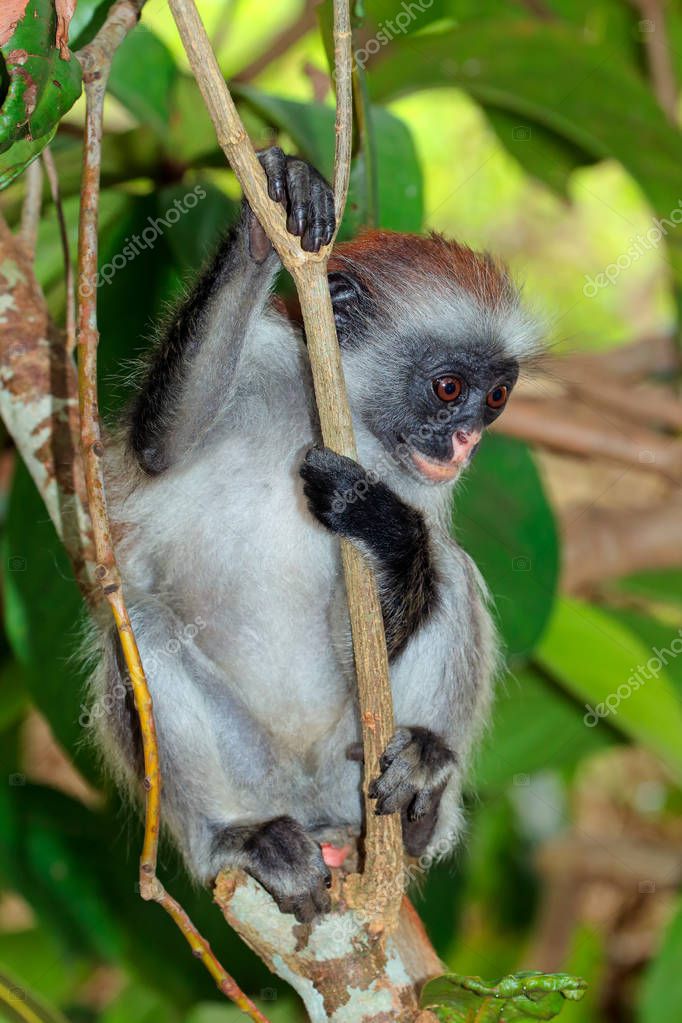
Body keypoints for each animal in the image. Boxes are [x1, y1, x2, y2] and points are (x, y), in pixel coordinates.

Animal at [89, 147, 541, 923]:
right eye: (449, 388)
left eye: (496, 397)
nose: (466, 445)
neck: (332, 412)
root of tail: (309, 800)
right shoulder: (268, 358)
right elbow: (159, 446)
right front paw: (271, 212)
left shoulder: (410, 481)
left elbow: (369, 629)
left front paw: (388, 532)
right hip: (255, 769)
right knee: (139, 630)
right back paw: (237, 837)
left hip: (350, 765)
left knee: (450, 574)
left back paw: (421, 802)